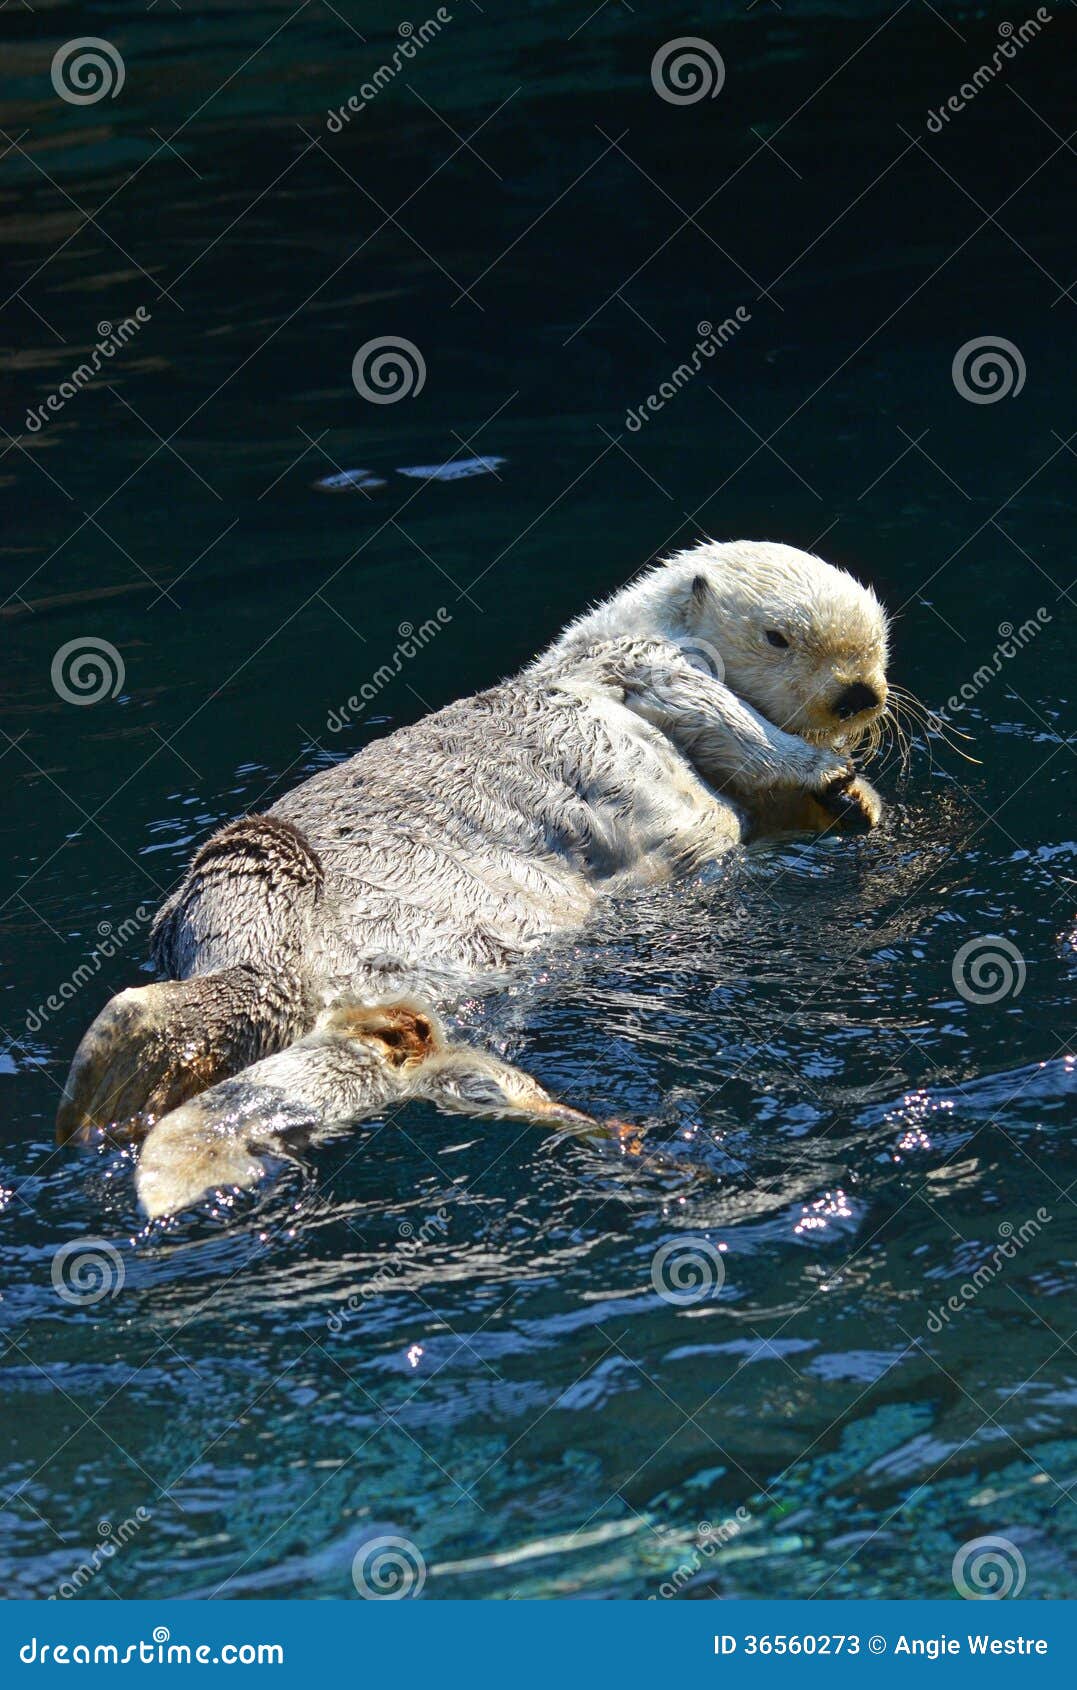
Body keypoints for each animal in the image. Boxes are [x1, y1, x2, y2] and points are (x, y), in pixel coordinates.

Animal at [57, 539, 891, 1216]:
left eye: (877, 650)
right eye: (778, 636)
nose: (860, 694)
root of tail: (352, 1007)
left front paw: (854, 803)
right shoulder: (645, 665)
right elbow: (735, 726)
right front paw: (835, 780)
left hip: (409, 1037)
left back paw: (616, 1138)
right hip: (258, 874)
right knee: (221, 990)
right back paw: (104, 1085)